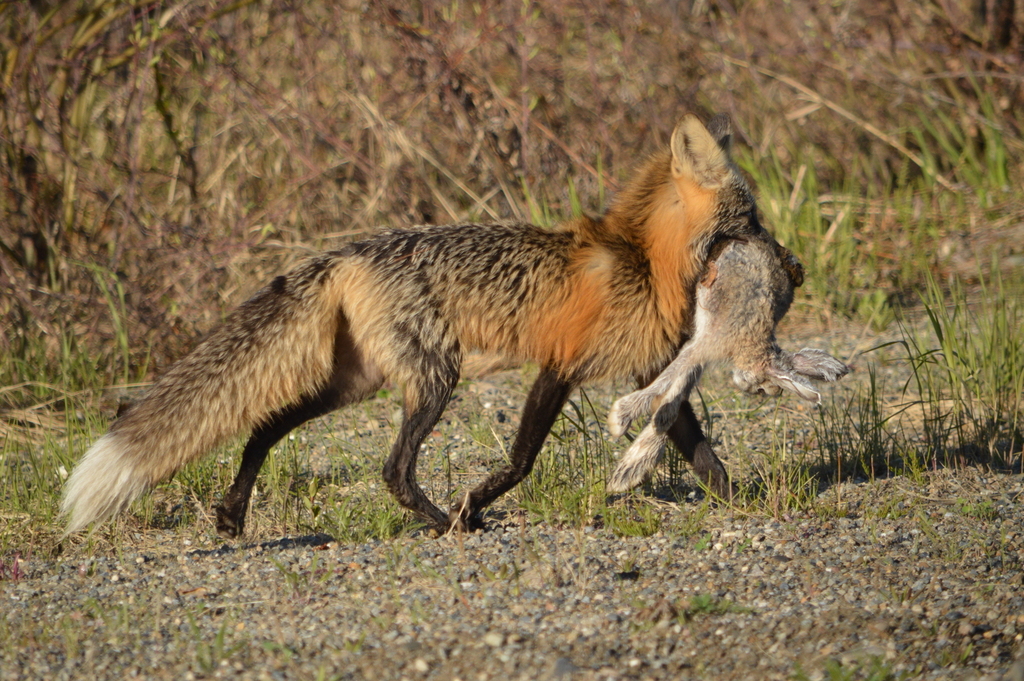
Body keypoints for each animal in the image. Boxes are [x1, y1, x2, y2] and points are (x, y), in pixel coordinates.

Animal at [61, 112, 793, 538]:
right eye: (753, 220)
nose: (796, 264)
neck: (644, 259)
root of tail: (348, 252)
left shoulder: (646, 368)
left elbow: (701, 451)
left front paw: (743, 504)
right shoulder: (560, 365)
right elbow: (521, 458)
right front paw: (476, 503)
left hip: (355, 383)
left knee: (266, 427)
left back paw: (233, 512)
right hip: (435, 379)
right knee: (392, 468)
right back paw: (445, 523)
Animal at [606, 237, 850, 493]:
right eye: (762, 386)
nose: (761, 392)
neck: (753, 344)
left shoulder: (704, 339)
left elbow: (677, 387)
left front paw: (631, 467)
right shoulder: (711, 338)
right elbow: (673, 372)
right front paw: (619, 419)